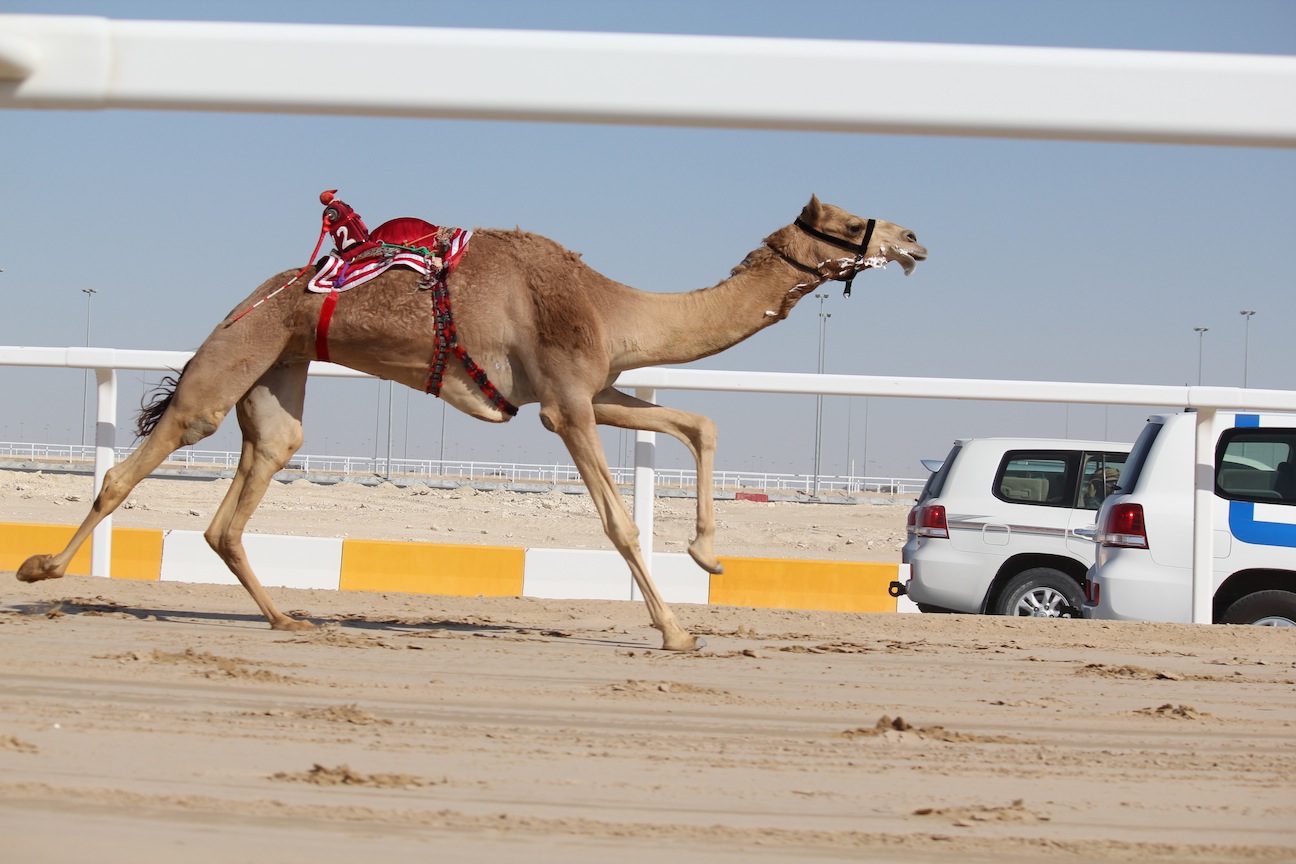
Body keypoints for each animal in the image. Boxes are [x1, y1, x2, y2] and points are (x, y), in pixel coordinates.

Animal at [17, 194, 926, 651]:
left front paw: (708, 555)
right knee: (139, 460)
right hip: (235, 353)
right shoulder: (565, 404)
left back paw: (286, 618)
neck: (611, 304)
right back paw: (41, 571)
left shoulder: (588, 389)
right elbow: (620, 522)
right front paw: (675, 632)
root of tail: (255, 297)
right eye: (845, 221)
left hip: (278, 366)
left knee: (250, 483)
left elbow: (698, 424)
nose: (914, 239)